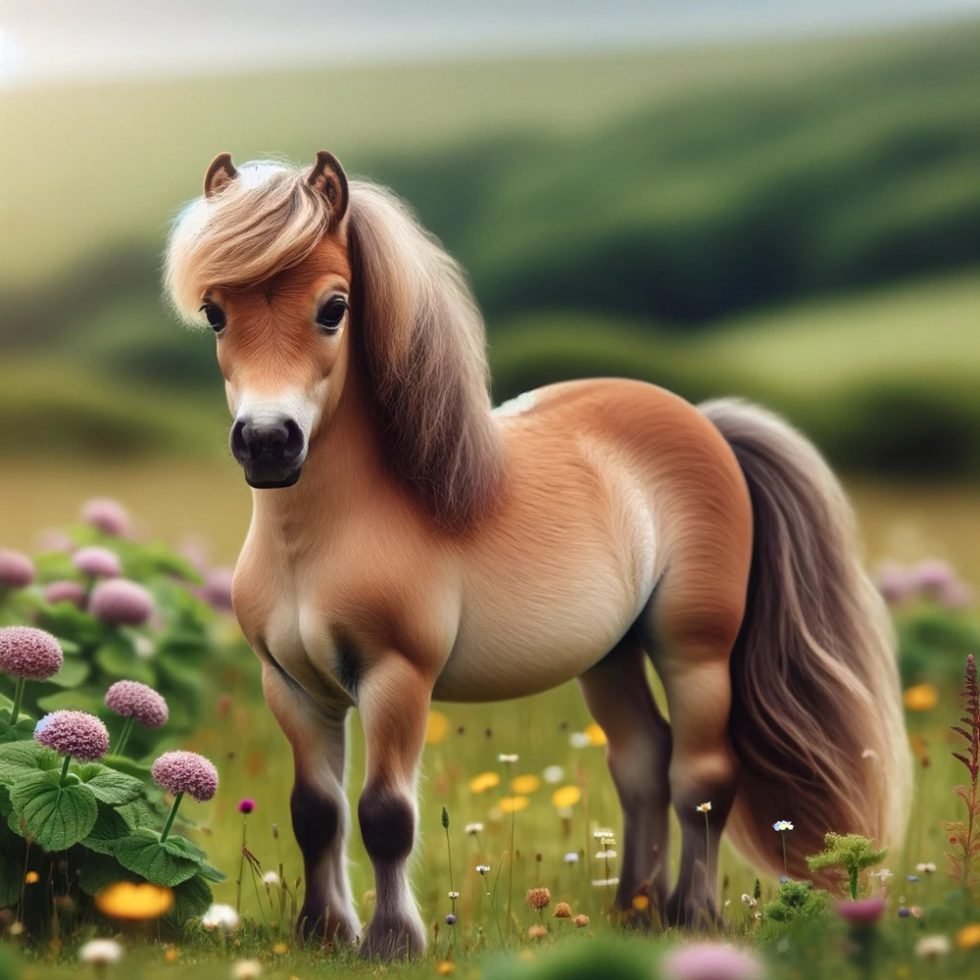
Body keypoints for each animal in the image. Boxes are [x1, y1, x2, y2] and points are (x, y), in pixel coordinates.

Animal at [165, 151, 910, 958]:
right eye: (215, 311)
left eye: (333, 307)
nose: (269, 442)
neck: (329, 536)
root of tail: (707, 424)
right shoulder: (292, 687)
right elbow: (316, 812)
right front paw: (323, 933)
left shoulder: (398, 680)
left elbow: (385, 815)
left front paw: (393, 942)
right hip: (610, 655)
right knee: (643, 764)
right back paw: (634, 910)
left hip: (695, 651)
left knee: (702, 780)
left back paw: (693, 915)